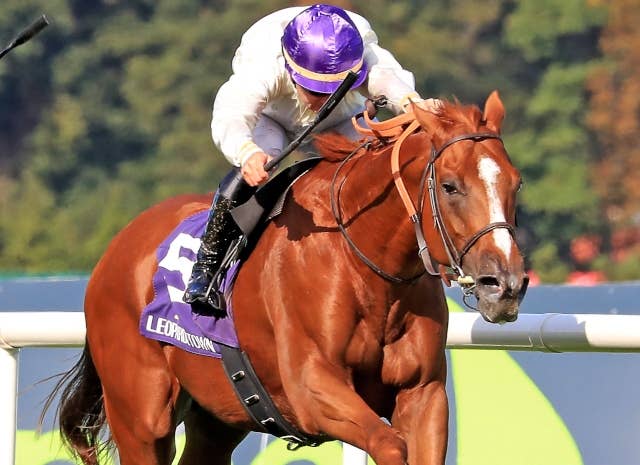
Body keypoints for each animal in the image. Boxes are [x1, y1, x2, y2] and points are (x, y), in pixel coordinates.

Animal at [48, 91, 527, 465]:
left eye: (515, 184)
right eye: (449, 186)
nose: (504, 285)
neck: (365, 267)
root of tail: (115, 251)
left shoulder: (423, 394)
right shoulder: (312, 389)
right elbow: (390, 445)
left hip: (218, 416)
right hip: (141, 418)